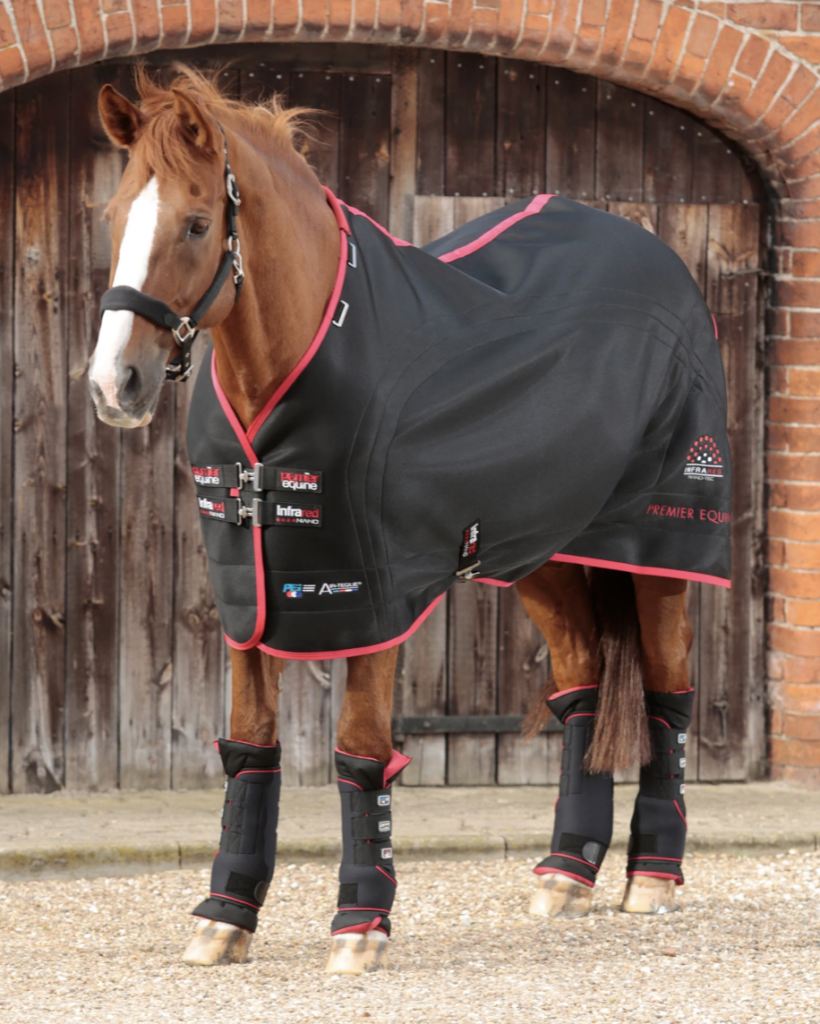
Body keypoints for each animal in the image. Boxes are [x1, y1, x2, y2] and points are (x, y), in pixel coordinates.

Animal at [87, 67, 731, 975]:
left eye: (197, 222)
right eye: (115, 217)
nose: (115, 386)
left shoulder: (372, 598)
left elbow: (361, 751)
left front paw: (361, 923)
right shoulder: (249, 594)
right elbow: (250, 748)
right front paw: (224, 915)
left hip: (666, 547)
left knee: (669, 694)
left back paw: (653, 876)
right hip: (541, 554)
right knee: (582, 686)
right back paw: (564, 873)